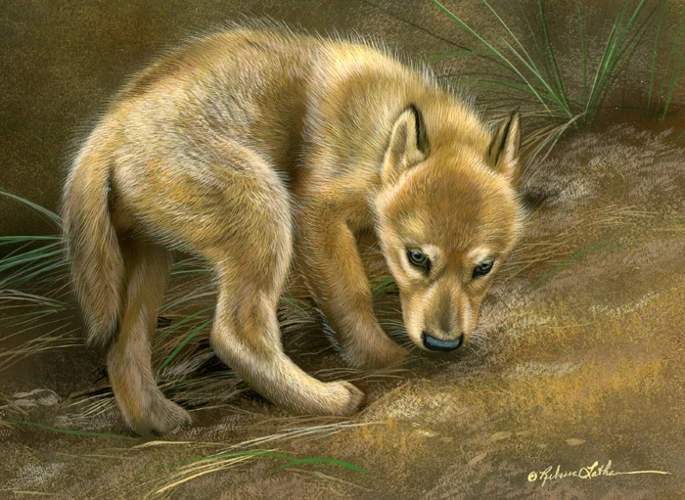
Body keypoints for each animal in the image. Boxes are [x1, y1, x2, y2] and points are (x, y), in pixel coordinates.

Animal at [62, 27, 523, 436]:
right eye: (417, 257)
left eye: (484, 267)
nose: (444, 345)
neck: (377, 136)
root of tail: (107, 132)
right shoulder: (314, 214)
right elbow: (352, 296)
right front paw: (385, 360)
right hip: (263, 211)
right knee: (235, 335)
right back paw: (328, 400)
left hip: (148, 259)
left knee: (124, 350)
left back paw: (158, 422)